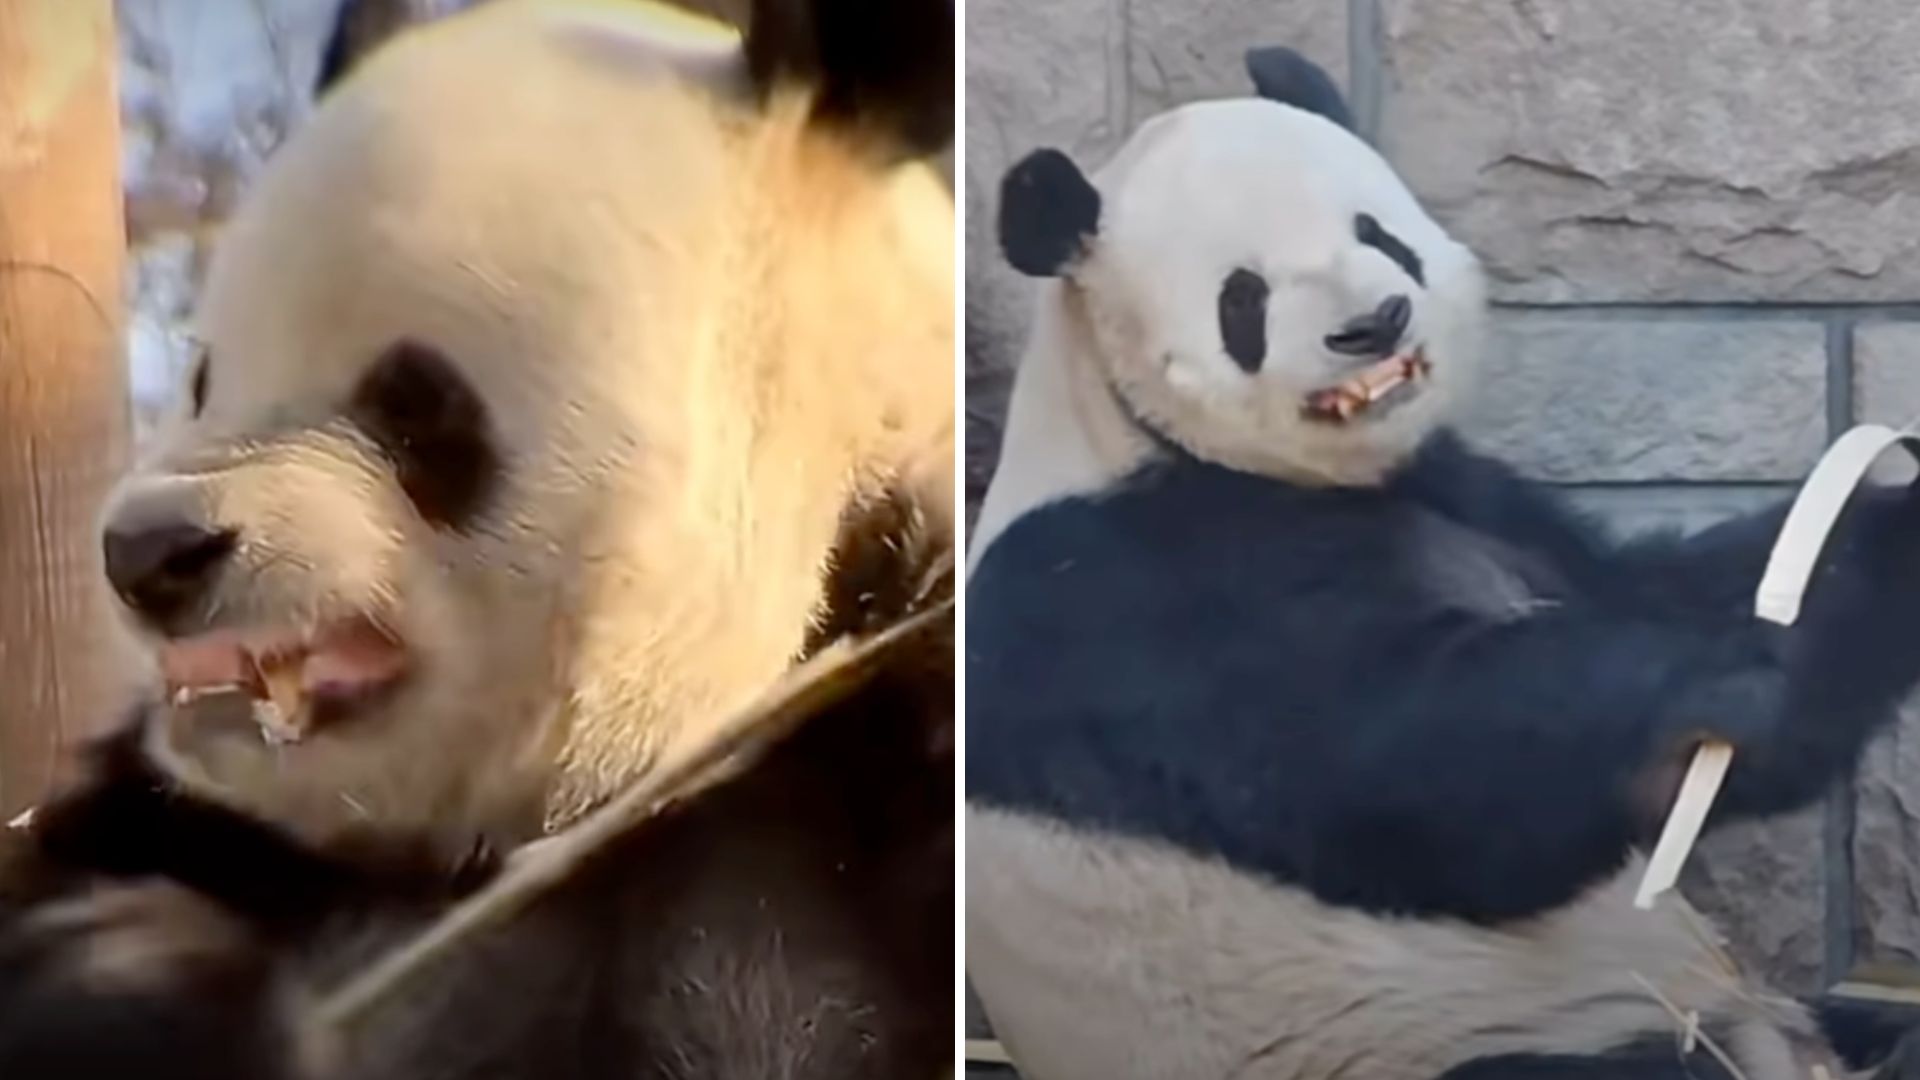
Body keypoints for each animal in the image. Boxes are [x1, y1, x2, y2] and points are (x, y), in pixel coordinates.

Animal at [966, 46, 1920, 1080]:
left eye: (1378, 233)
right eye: (1243, 296)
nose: (1373, 324)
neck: (1129, 430)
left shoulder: (1455, 484)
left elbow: (1652, 586)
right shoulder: (1128, 596)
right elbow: (1411, 772)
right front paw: (1725, 685)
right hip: (1461, 1038)